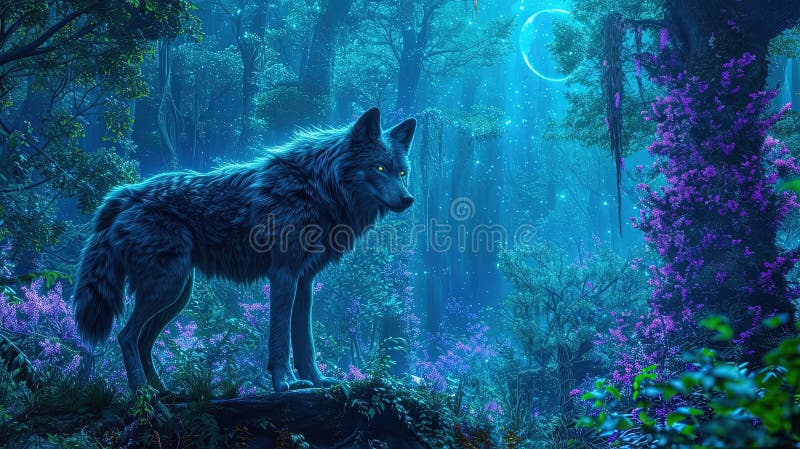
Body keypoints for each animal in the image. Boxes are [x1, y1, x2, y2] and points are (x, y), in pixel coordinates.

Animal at [73, 108, 416, 392]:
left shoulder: (305, 281)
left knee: (143, 341)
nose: (409, 199)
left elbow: (304, 341)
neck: (318, 187)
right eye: (379, 167)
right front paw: (286, 383)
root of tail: (123, 195)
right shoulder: (283, 275)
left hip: (178, 295)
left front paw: (317, 381)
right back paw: (143, 394)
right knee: (126, 336)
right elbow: (280, 338)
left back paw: (166, 393)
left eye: (402, 172)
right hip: (167, 289)